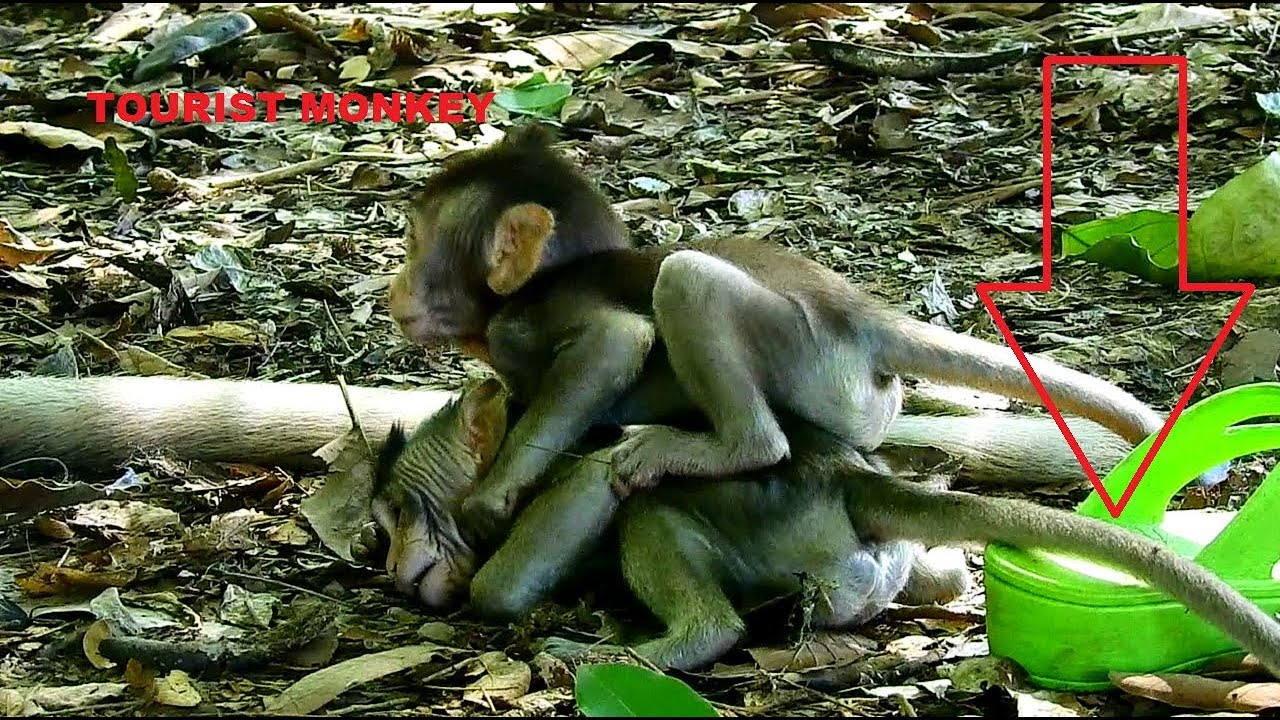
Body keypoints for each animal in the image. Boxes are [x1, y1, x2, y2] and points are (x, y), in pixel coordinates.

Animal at [372, 378, 1280, 677]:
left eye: (395, 515)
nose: (383, 566)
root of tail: (848, 477)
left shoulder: (550, 465)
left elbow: (599, 478)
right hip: (867, 566)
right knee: (935, 573)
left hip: (780, 534)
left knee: (654, 515)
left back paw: (649, 649)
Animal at [386, 124, 1187, 540]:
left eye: (414, 239)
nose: (395, 284)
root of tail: (864, 314)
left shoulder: (530, 320)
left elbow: (614, 342)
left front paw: (494, 493)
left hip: (808, 353)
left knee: (688, 280)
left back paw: (725, 446)